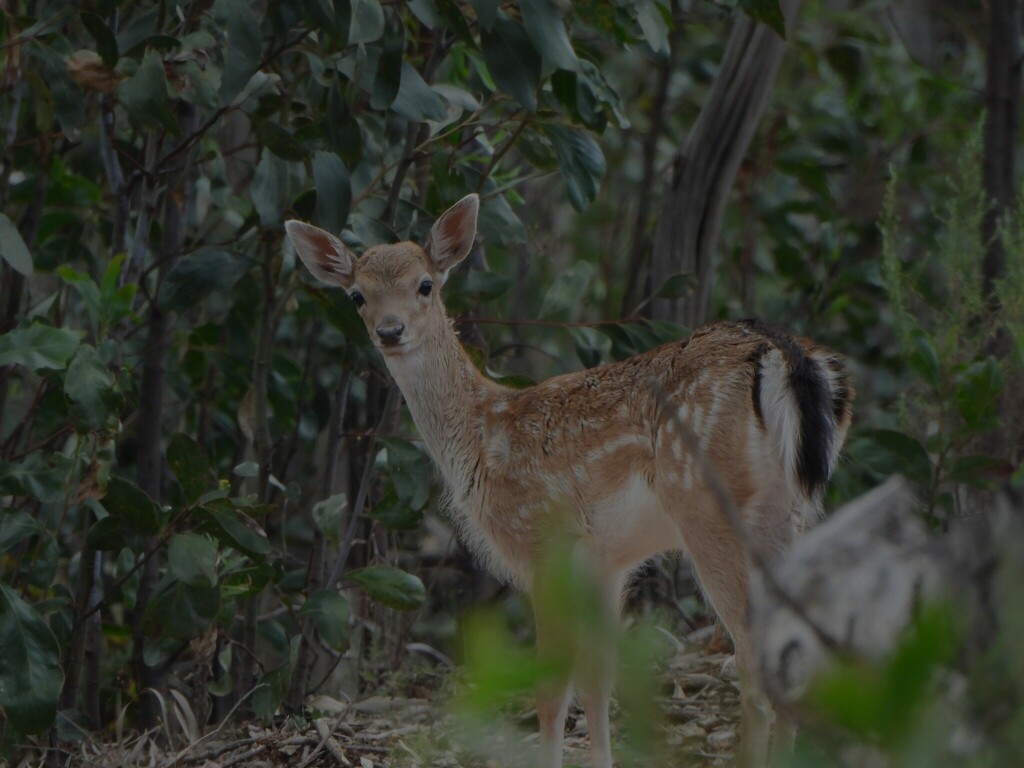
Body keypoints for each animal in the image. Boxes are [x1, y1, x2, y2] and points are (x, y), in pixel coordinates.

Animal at [286, 193, 854, 768]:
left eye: (425, 284)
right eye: (357, 295)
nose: (390, 330)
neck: (480, 436)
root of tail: (786, 355)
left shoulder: (543, 538)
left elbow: (551, 690)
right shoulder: (608, 560)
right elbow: (597, 682)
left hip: (710, 505)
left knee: (755, 665)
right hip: (792, 510)